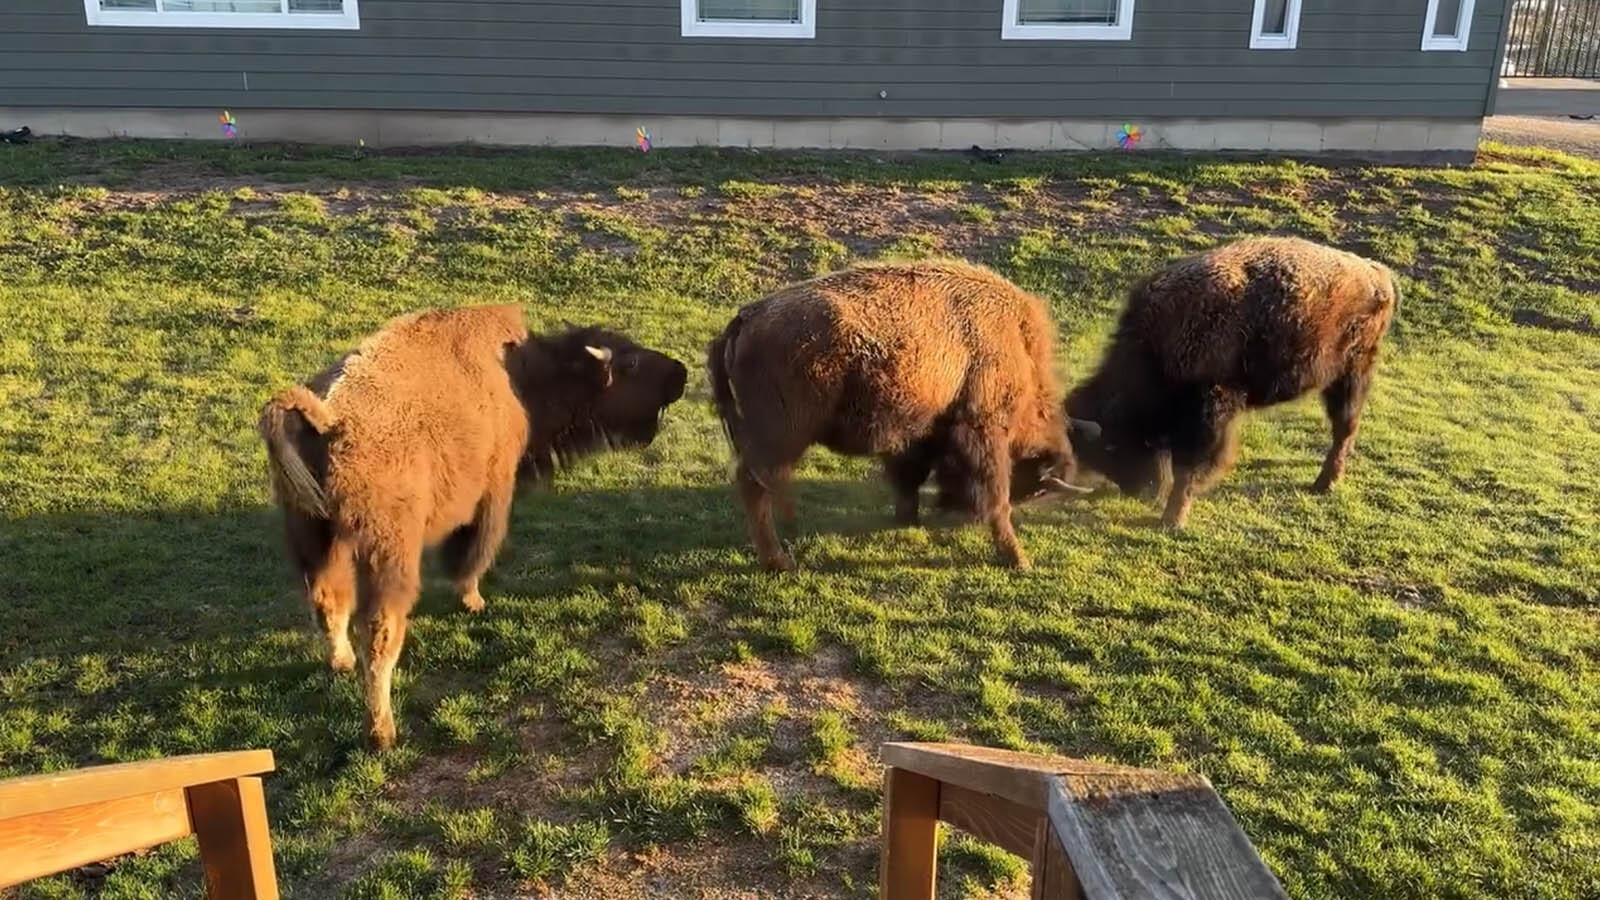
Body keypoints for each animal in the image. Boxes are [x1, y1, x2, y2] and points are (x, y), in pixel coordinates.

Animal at [259, 305, 686, 749]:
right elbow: (474, 553)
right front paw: (473, 599)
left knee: (328, 603)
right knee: (379, 635)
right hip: (388, 556)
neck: (521, 373)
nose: (681, 372)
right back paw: (382, 732)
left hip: (315, 540)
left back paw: (340, 663)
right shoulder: (494, 493)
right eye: (630, 363)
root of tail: (330, 418)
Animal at [708, 260, 1088, 572]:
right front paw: (1018, 558)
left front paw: (908, 520)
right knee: (755, 485)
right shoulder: (983, 429)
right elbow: (996, 496)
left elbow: (909, 478)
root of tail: (746, 317)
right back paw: (779, 561)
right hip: (783, 438)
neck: (1015, 341)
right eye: (1036, 486)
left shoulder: (918, 434)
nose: (954, 513)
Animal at [1067, 237, 1399, 527]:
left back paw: (1324, 483)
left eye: (1113, 445)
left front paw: (1172, 519)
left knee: (1344, 426)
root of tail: (1377, 275)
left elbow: (1190, 466)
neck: (1158, 347)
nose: (1142, 492)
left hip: (1350, 374)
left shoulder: (1210, 414)